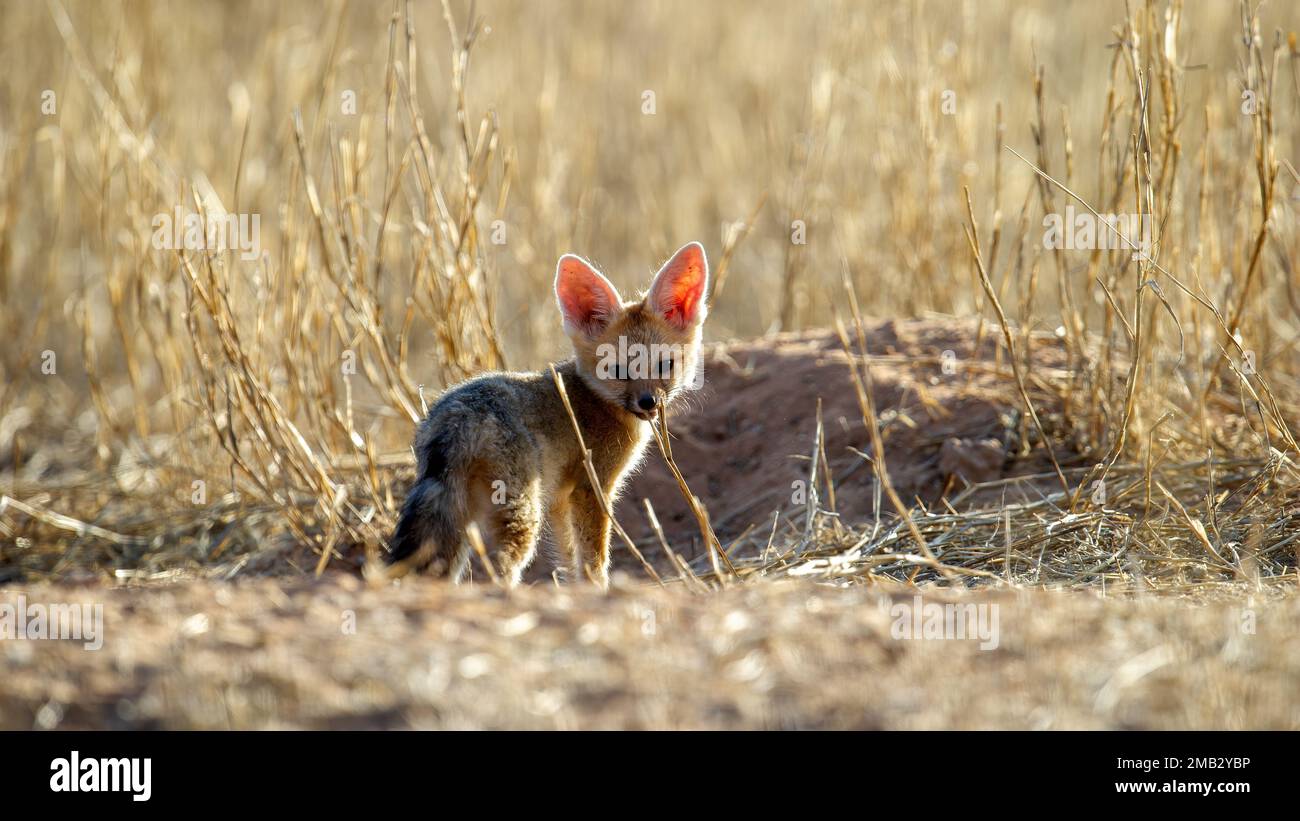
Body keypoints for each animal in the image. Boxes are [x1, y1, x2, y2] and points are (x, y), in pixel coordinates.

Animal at [378, 241, 710, 588]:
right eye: (617, 370)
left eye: (664, 364)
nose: (648, 402)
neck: (596, 399)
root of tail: (457, 413)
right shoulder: (592, 489)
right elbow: (593, 559)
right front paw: (599, 590)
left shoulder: (560, 500)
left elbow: (568, 557)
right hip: (520, 513)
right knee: (500, 565)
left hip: (463, 515)